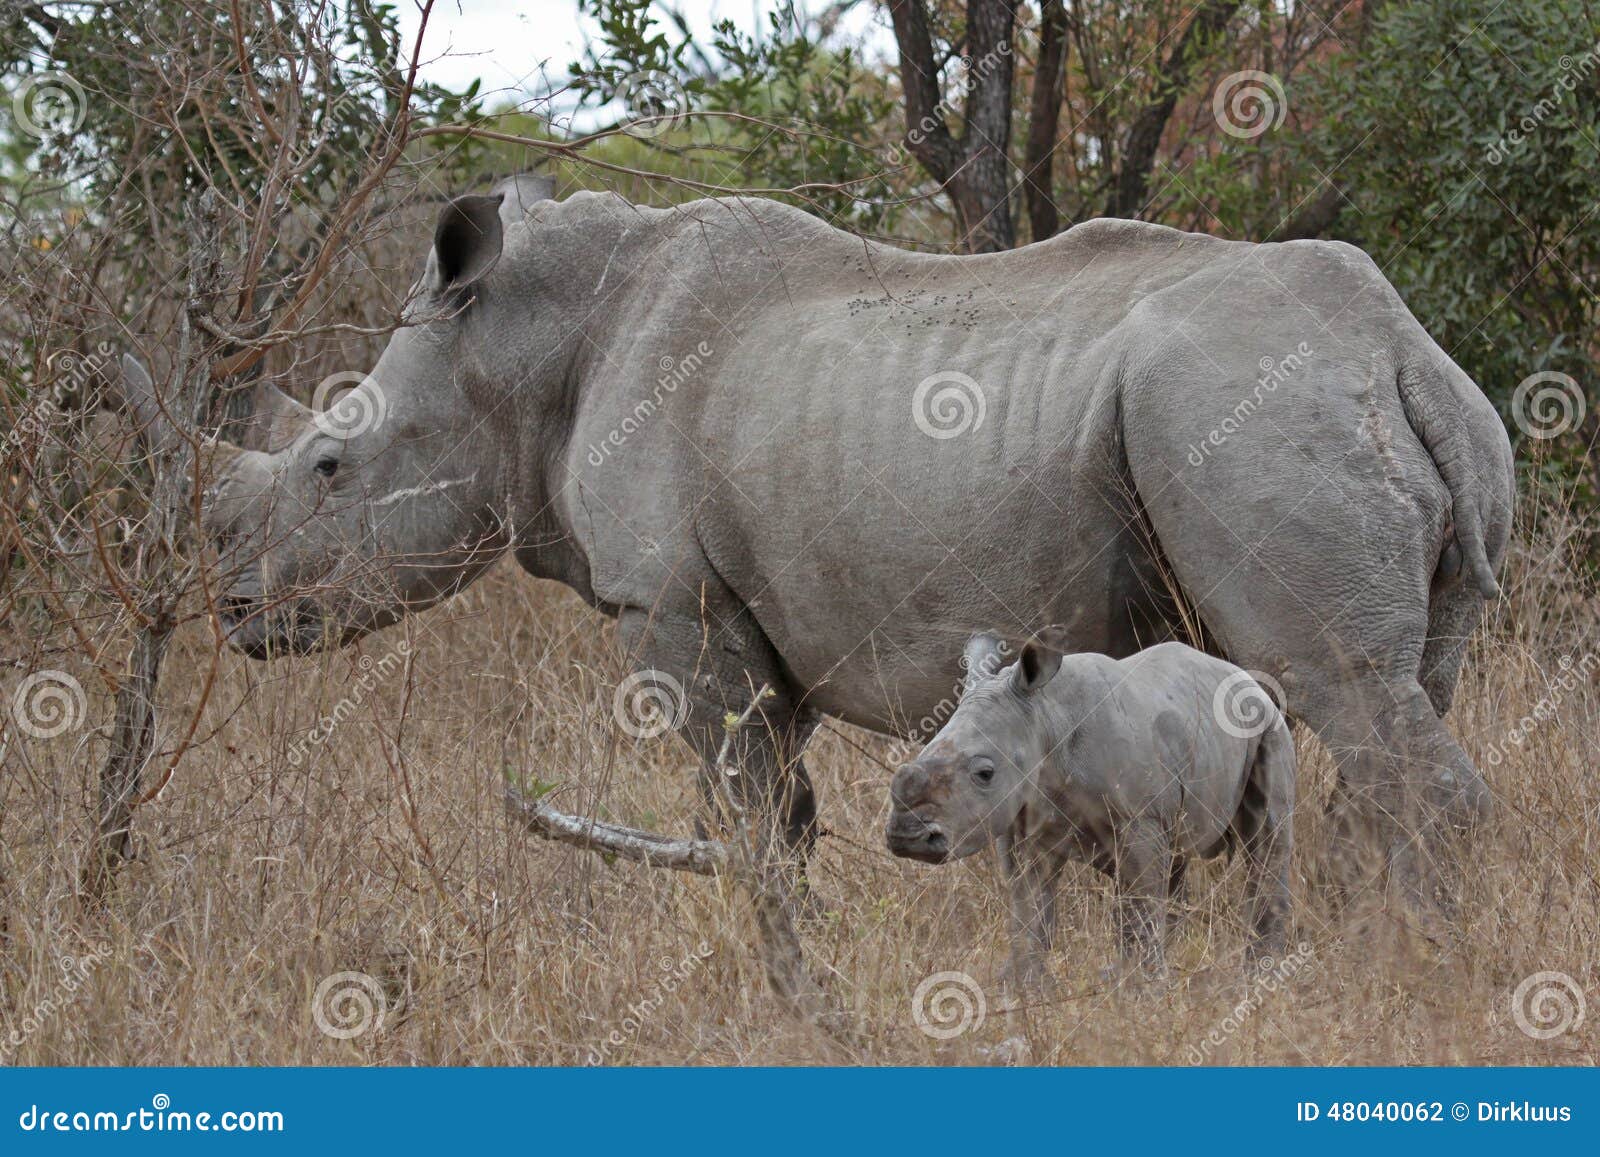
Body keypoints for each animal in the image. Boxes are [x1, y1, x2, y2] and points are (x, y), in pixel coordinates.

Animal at [199, 177, 1514, 894]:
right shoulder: (744, 613)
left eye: (329, 467)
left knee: (1346, 692)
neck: (518, 347)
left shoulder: (669, 604)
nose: (233, 615)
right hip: (1405, 432)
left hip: (1247, 412)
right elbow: (782, 824)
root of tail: (1401, 354)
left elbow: (750, 830)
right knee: (1399, 696)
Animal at [886, 635, 1295, 982]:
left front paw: (1142, 991)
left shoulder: (1137, 819)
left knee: (1266, 843)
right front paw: (1021, 986)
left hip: (1268, 725)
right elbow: (1028, 903)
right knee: (1175, 859)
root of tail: (1244, 678)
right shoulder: (1020, 822)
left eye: (984, 774)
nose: (907, 837)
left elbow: (1139, 898)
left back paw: (1260, 974)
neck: (1043, 718)